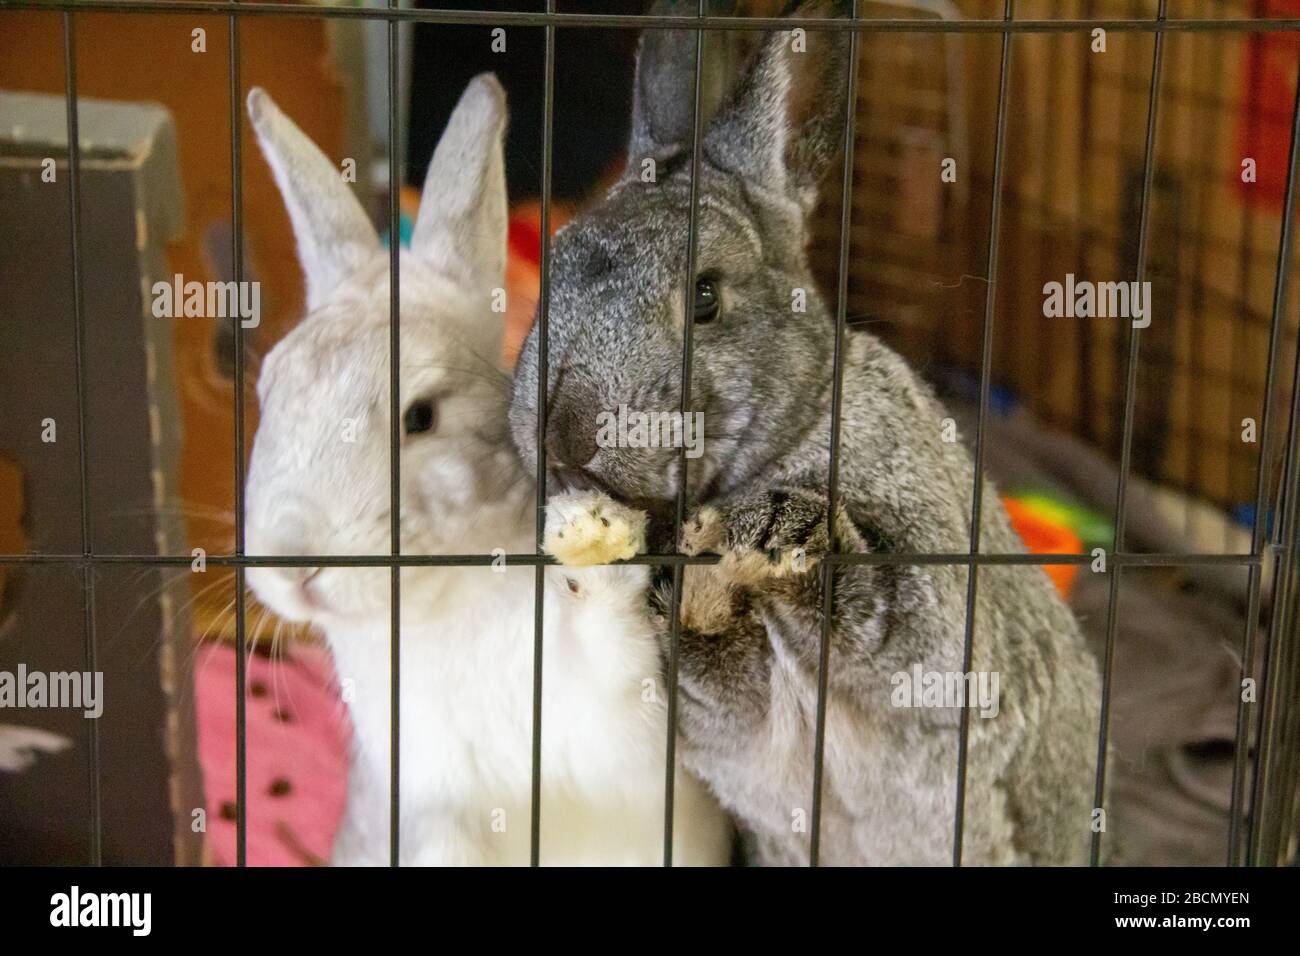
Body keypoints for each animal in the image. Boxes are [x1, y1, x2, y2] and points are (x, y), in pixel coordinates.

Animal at [243, 77, 730, 866]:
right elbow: (447, 838)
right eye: (268, 394)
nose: (292, 565)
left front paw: (595, 553)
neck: (436, 610)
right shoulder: (425, 796)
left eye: (420, 416)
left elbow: (613, 658)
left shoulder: (621, 728)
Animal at [508, 7, 1104, 865]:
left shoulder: (934, 634)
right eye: (548, 275)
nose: (564, 431)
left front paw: (776, 535)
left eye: (705, 298)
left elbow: (879, 603)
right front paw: (694, 592)